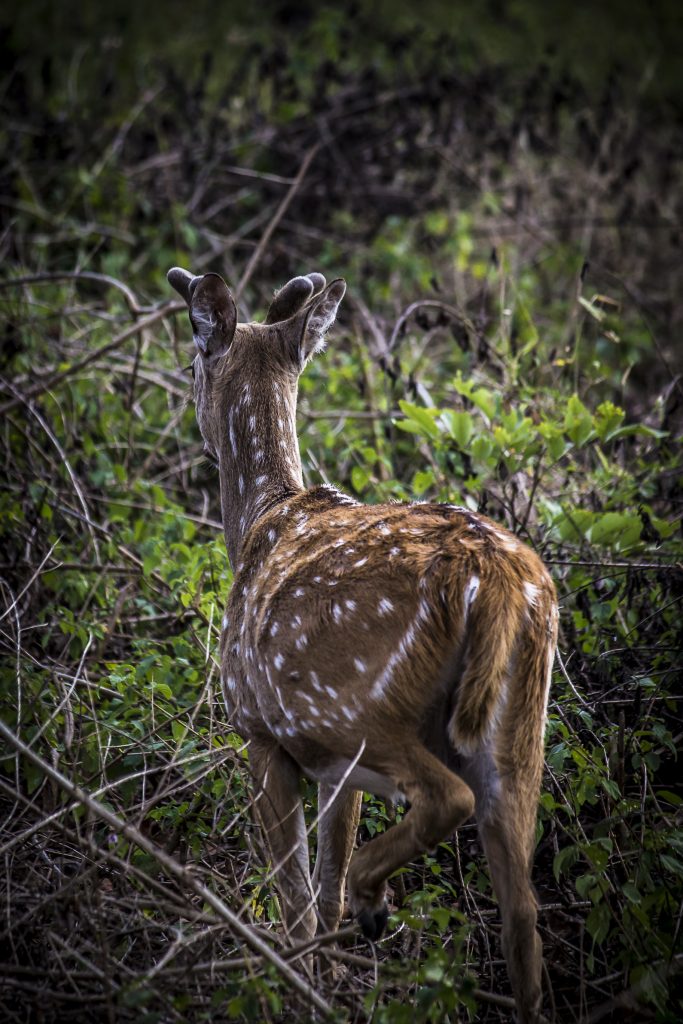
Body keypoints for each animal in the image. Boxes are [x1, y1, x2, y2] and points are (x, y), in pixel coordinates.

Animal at [167, 266, 558, 1023]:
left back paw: (374, 906)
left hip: (350, 706)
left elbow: (297, 895)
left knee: (444, 801)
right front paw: (323, 981)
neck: (261, 520)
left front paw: (297, 984)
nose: (188, 411)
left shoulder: (261, 731)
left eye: (194, 359)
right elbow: (323, 877)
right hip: (520, 730)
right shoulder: (329, 773)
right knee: (523, 914)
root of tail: (497, 583)